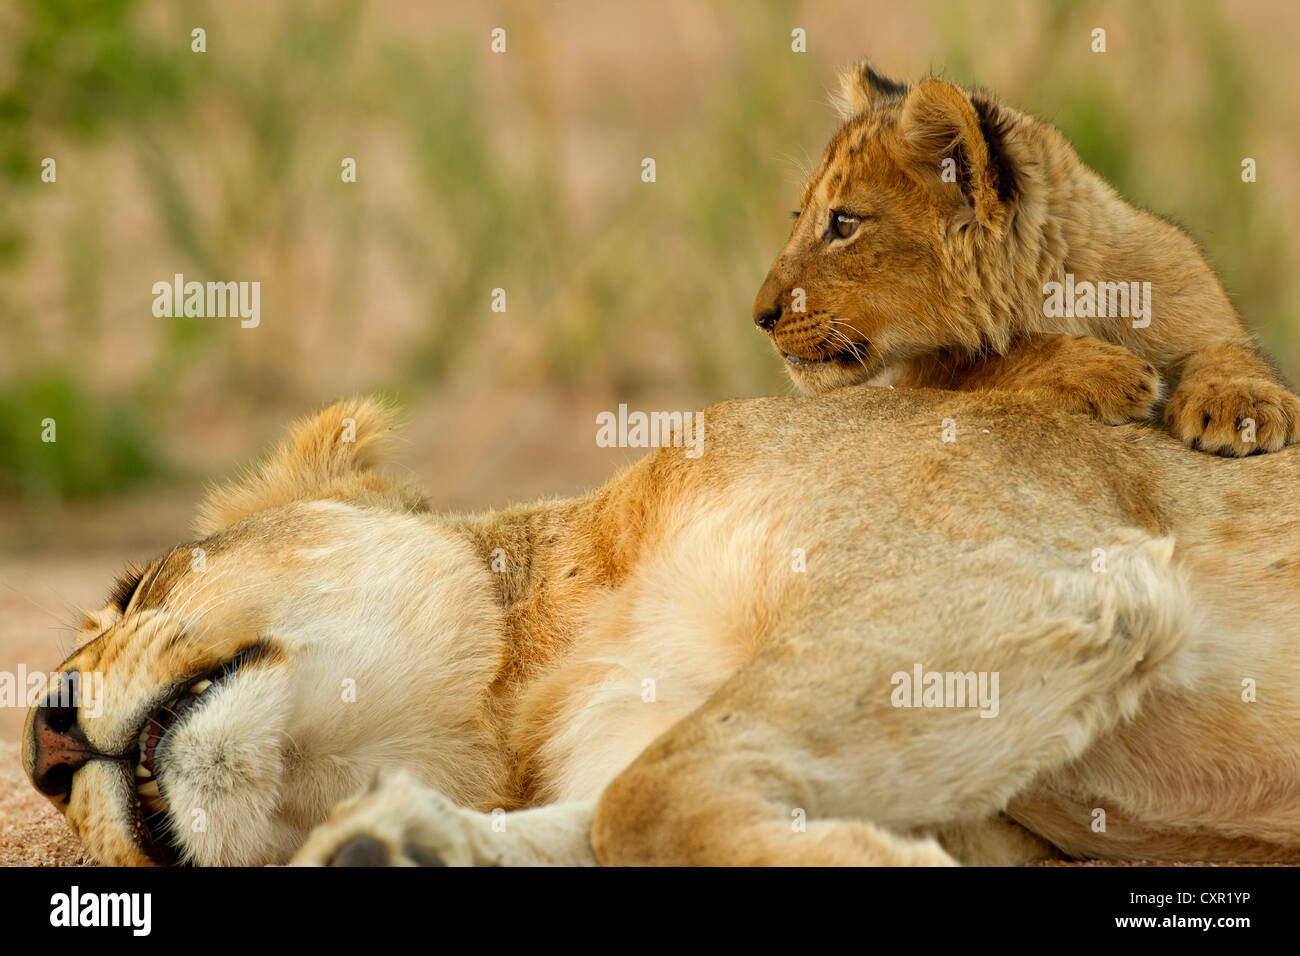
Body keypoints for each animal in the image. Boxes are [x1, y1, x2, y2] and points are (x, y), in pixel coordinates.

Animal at [21, 392, 1300, 865]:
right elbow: (610, 813)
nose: (39, 745)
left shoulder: (993, 579)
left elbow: (644, 800)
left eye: (135, 583)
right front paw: (395, 842)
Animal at [752, 61, 1300, 457]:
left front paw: (1243, 404)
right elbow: (983, 364)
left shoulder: (1184, 286)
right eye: (800, 216)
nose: (760, 318)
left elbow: (1226, 347)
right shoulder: (915, 381)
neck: (1067, 294)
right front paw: (1104, 373)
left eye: (844, 224)